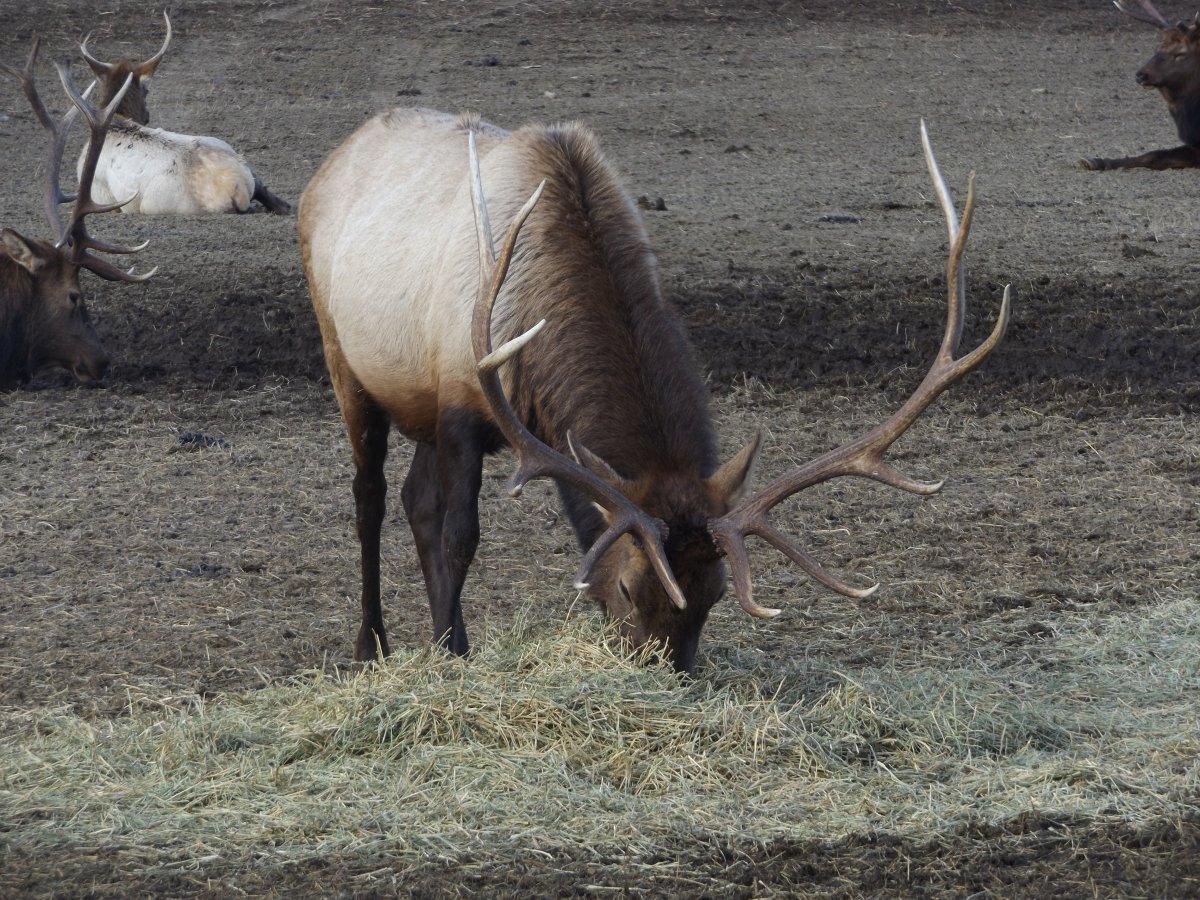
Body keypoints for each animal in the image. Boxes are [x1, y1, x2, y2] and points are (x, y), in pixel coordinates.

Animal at [75, 12, 291, 215]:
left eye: (147, 90)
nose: (147, 116)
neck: (116, 122)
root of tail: (238, 189)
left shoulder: (103, 198)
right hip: (234, 153)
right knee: (275, 199)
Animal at [299, 106, 1010, 675]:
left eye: (715, 592)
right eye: (627, 589)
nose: (670, 674)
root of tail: (327, 165)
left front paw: (454, 643)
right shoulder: (459, 400)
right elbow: (460, 535)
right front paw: (451, 654)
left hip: (410, 397)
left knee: (414, 498)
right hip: (344, 359)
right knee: (371, 498)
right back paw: (371, 646)